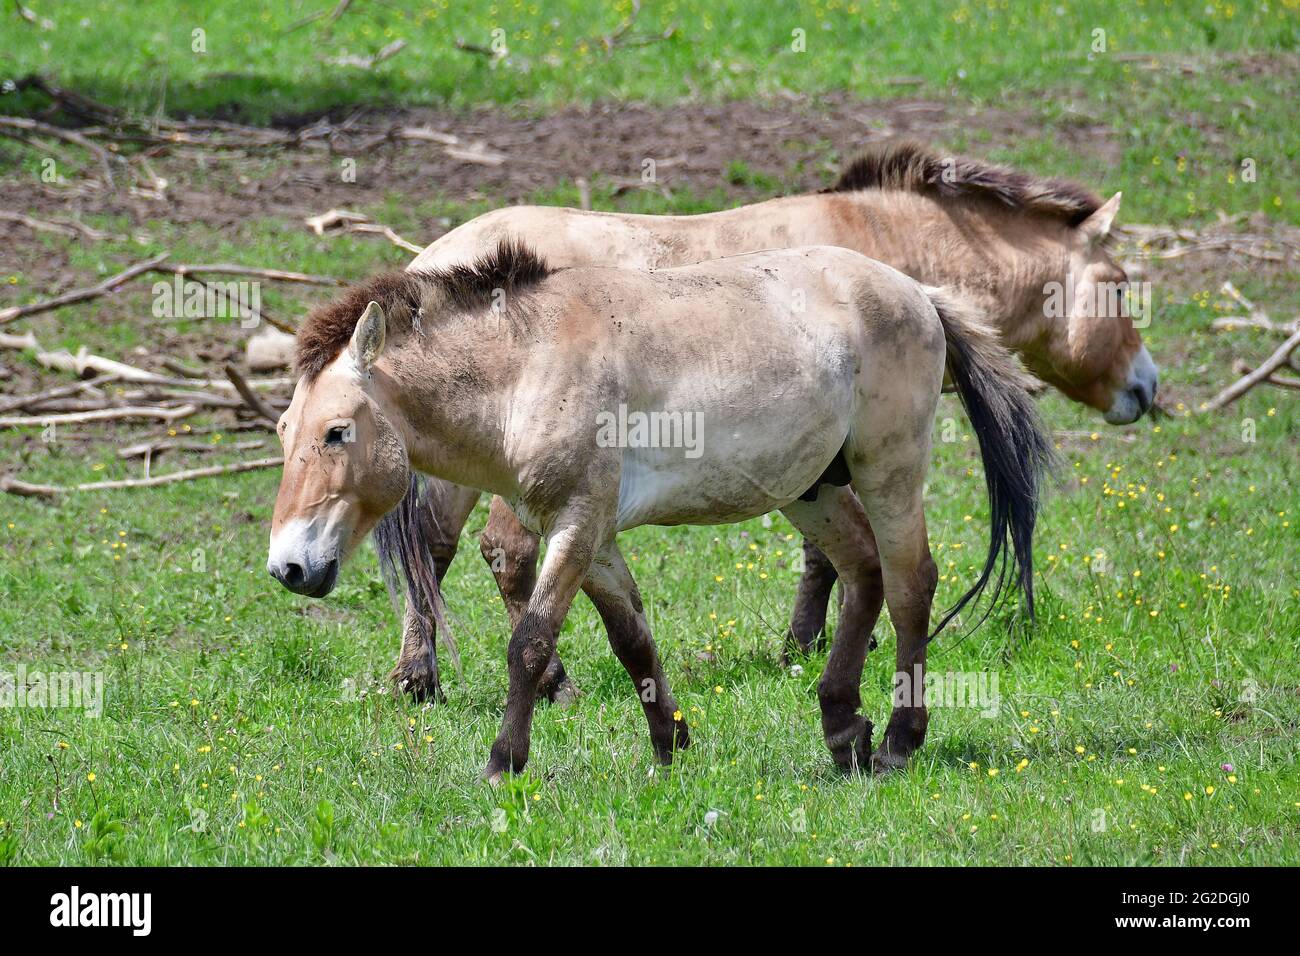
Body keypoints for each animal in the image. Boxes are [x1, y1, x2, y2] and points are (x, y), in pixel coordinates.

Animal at [268, 241, 1054, 778]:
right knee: (863, 573)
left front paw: (502, 762)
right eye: (282, 430)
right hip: (814, 490)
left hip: (887, 472)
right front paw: (669, 743)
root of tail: (917, 291)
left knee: (910, 585)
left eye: (336, 432)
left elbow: (529, 642)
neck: (526, 369)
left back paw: (898, 738)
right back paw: (840, 727)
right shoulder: (592, 538)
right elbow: (633, 641)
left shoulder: (577, 523)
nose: (288, 568)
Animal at [377, 141, 1155, 707]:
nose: (1146, 389)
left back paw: (418, 678)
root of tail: (435, 258)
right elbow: (823, 558)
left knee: (432, 550)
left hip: (459, 464)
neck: (883, 249)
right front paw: (804, 646)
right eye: (1119, 289)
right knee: (505, 554)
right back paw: (551, 684)